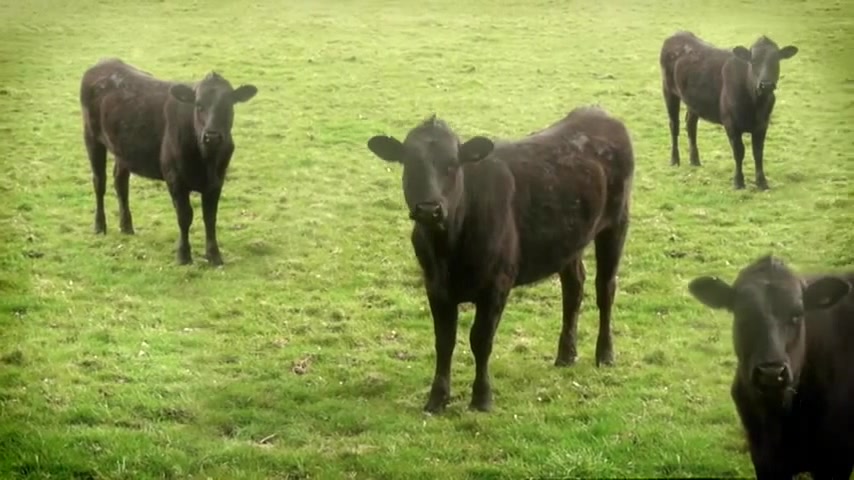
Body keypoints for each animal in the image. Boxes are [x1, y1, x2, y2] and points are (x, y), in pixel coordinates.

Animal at [79, 58, 258, 266]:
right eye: (198, 105)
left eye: (229, 105)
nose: (212, 136)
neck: (207, 160)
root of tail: (105, 62)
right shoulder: (175, 178)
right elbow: (185, 216)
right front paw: (183, 255)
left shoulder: (217, 181)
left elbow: (210, 217)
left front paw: (214, 256)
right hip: (92, 137)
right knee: (99, 182)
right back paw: (100, 226)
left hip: (122, 148)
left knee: (120, 182)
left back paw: (126, 226)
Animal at [365, 106, 634, 413]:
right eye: (409, 164)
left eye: (453, 165)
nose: (428, 210)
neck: (447, 249)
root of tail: (597, 112)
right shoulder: (435, 286)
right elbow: (444, 341)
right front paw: (437, 398)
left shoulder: (496, 285)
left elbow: (480, 340)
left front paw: (482, 398)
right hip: (570, 238)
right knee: (574, 288)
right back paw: (566, 355)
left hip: (616, 224)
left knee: (605, 288)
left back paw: (605, 354)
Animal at [660, 32, 798, 190]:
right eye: (753, 61)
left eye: (776, 60)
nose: (766, 85)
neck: (756, 104)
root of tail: (678, 34)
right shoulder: (731, 123)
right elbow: (739, 152)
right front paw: (738, 181)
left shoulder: (762, 124)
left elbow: (758, 152)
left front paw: (762, 182)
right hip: (668, 91)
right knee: (674, 125)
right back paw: (674, 160)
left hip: (693, 100)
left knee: (690, 125)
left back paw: (695, 160)